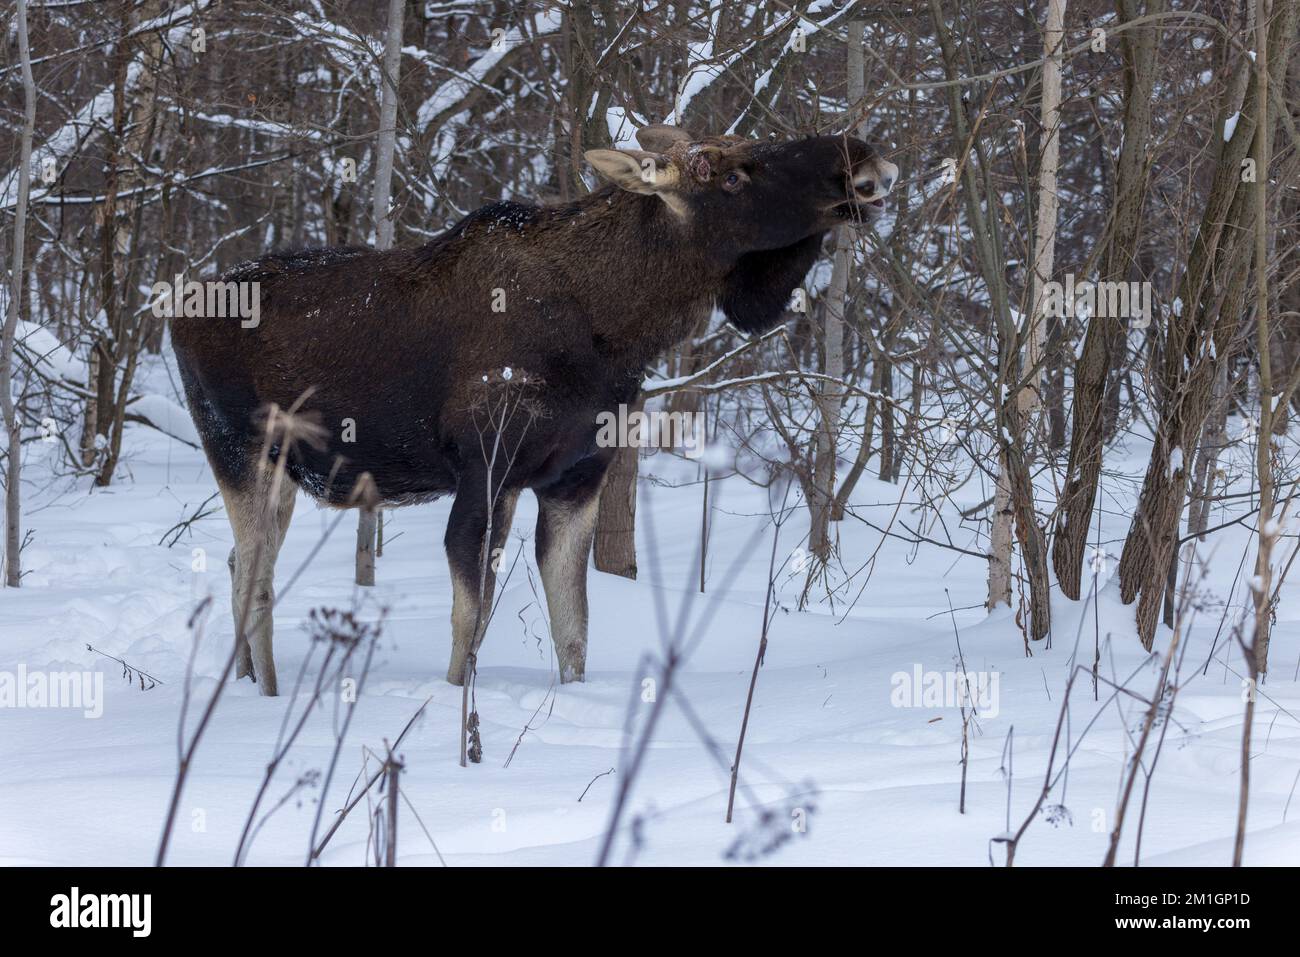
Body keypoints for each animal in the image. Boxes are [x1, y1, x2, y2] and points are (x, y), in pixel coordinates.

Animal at [171, 124, 897, 695]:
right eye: (727, 173)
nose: (859, 152)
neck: (617, 332)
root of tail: (174, 310)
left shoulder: (573, 478)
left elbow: (573, 632)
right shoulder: (485, 471)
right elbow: (468, 631)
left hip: (282, 473)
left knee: (237, 567)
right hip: (242, 454)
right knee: (254, 582)